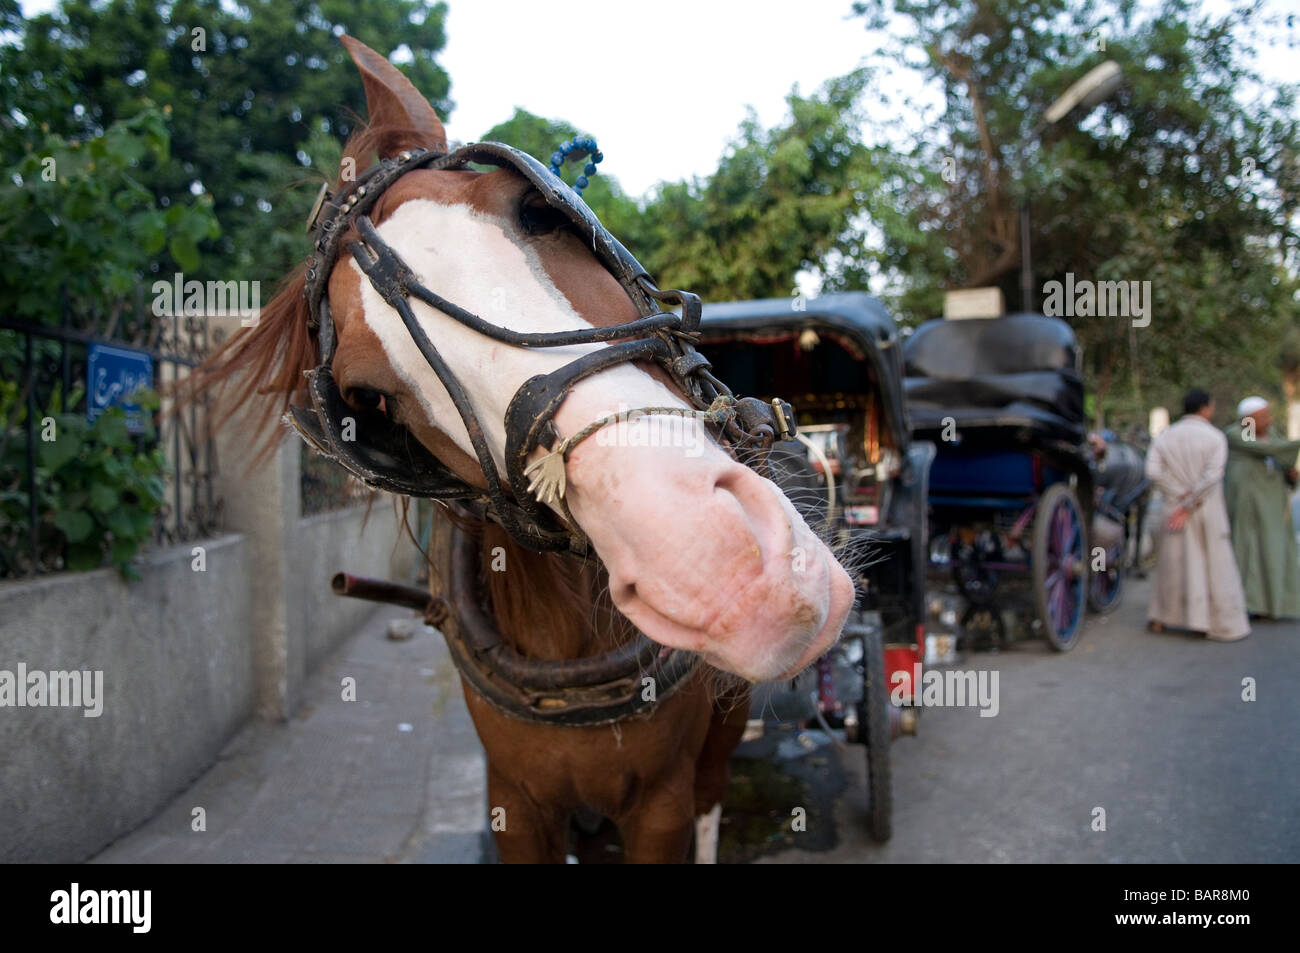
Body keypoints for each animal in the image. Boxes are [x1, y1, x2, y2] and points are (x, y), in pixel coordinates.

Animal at [194, 36, 854, 863]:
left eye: (537, 210)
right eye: (368, 399)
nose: (716, 564)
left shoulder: (662, 805)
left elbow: (686, 812)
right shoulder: (514, 799)